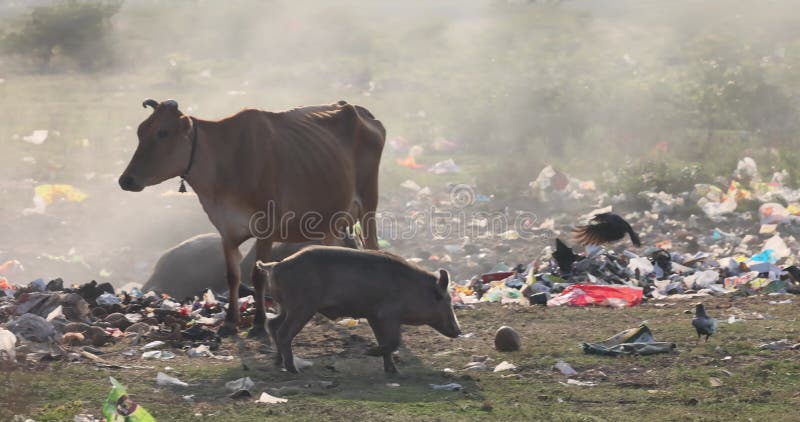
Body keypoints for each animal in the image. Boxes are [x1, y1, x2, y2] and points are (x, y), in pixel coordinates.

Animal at [119, 99, 385, 338]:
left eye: (163, 132)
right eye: (141, 131)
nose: (126, 180)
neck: (225, 163)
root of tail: (362, 112)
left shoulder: (266, 229)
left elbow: (258, 276)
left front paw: (258, 322)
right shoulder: (226, 230)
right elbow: (232, 276)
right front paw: (230, 322)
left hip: (368, 203)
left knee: (372, 247)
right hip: (332, 218)